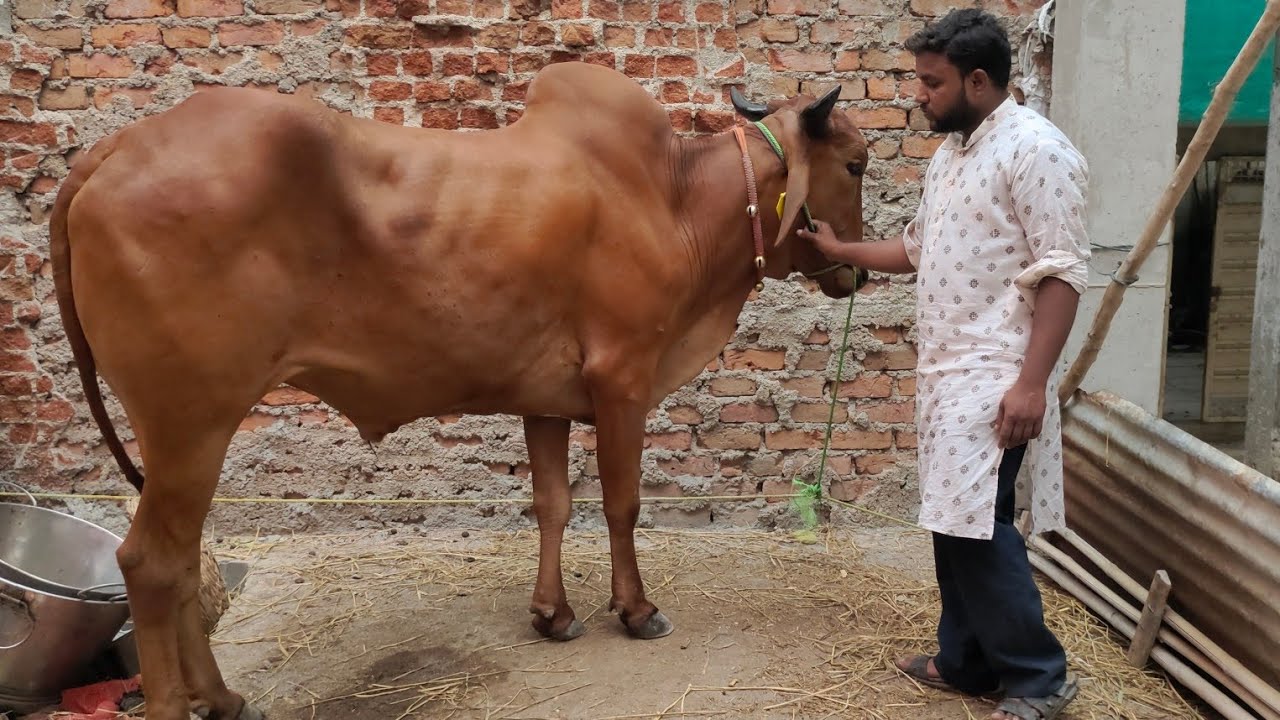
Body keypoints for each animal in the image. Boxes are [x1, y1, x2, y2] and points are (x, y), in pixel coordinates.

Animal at [49, 61, 870, 719]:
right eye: (858, 164)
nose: (856, 271)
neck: (674, 198)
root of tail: (114, 148)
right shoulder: (623, 376)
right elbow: (622, 503)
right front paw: (636, 610)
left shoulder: (547, 397)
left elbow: (552, 505)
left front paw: (553, 615)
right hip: (190, 420)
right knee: (151, 566)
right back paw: (181, 702)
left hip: (186, 435)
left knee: (184, 561)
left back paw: (221, 697)